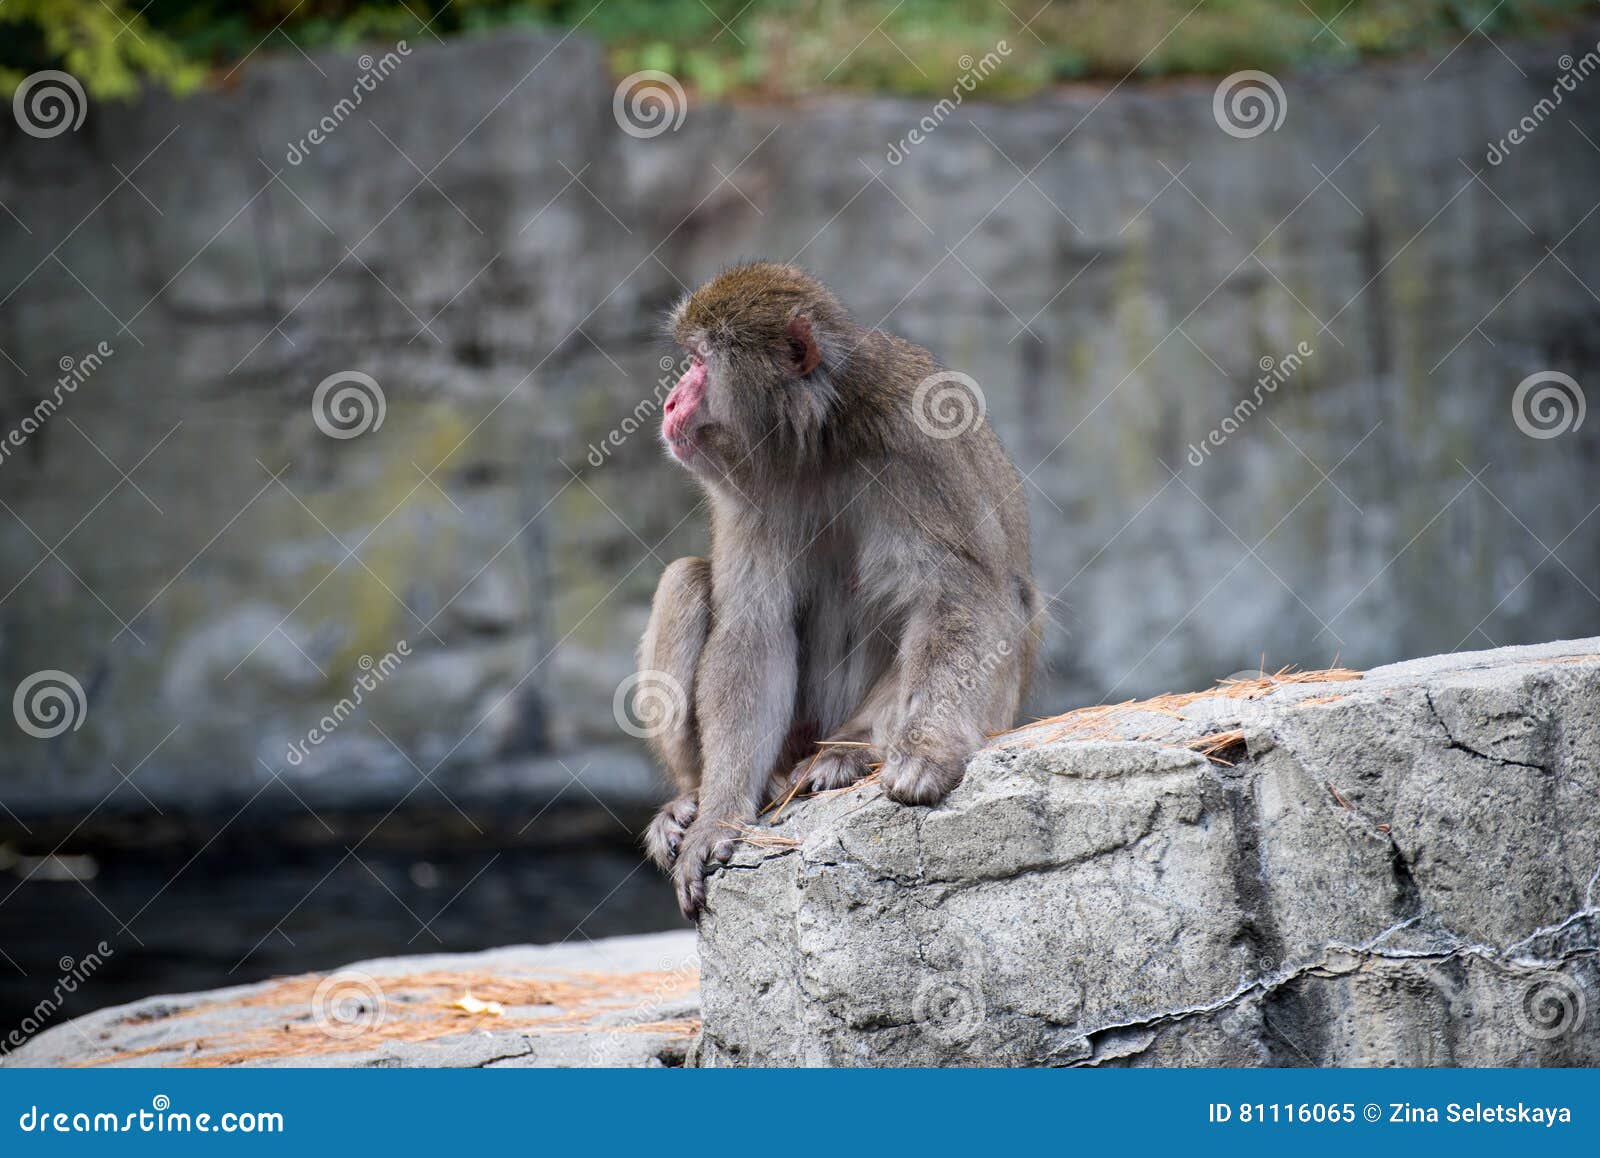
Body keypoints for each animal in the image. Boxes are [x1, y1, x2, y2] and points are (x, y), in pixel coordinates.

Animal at [635, 262, 1040, 920]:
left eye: (698, 362)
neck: (819, 437)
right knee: (688, 581)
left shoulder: (918, 442)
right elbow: (752, 631)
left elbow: (966, 599)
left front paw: (924, 752)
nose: (670, 400)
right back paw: (693, 798)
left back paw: (848, 750)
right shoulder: (747, 494)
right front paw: (719, 814)